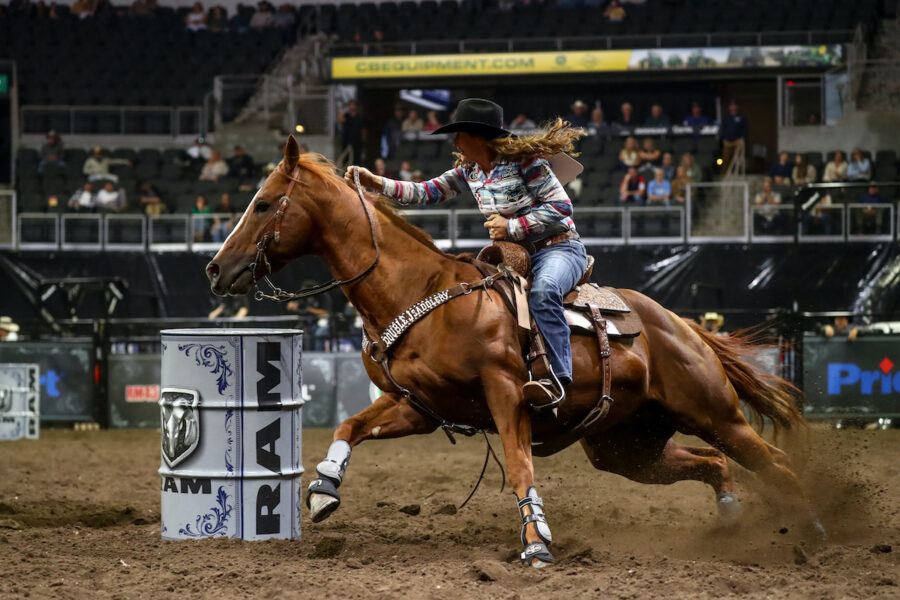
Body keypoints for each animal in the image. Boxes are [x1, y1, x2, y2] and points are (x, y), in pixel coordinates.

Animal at [205, 137, 823, 567]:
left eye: (264, 204)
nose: (214, 269)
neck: (419, 290)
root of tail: (682, 325)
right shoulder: (417, 406)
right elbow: (350, 425)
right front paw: (322, 490)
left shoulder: (506, 394)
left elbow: (521, 464)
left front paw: (537, 544)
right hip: (626, 447)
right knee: (714, 462)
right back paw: (732, 520)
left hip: (713, 413)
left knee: (773, 462)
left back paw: (814, 529)